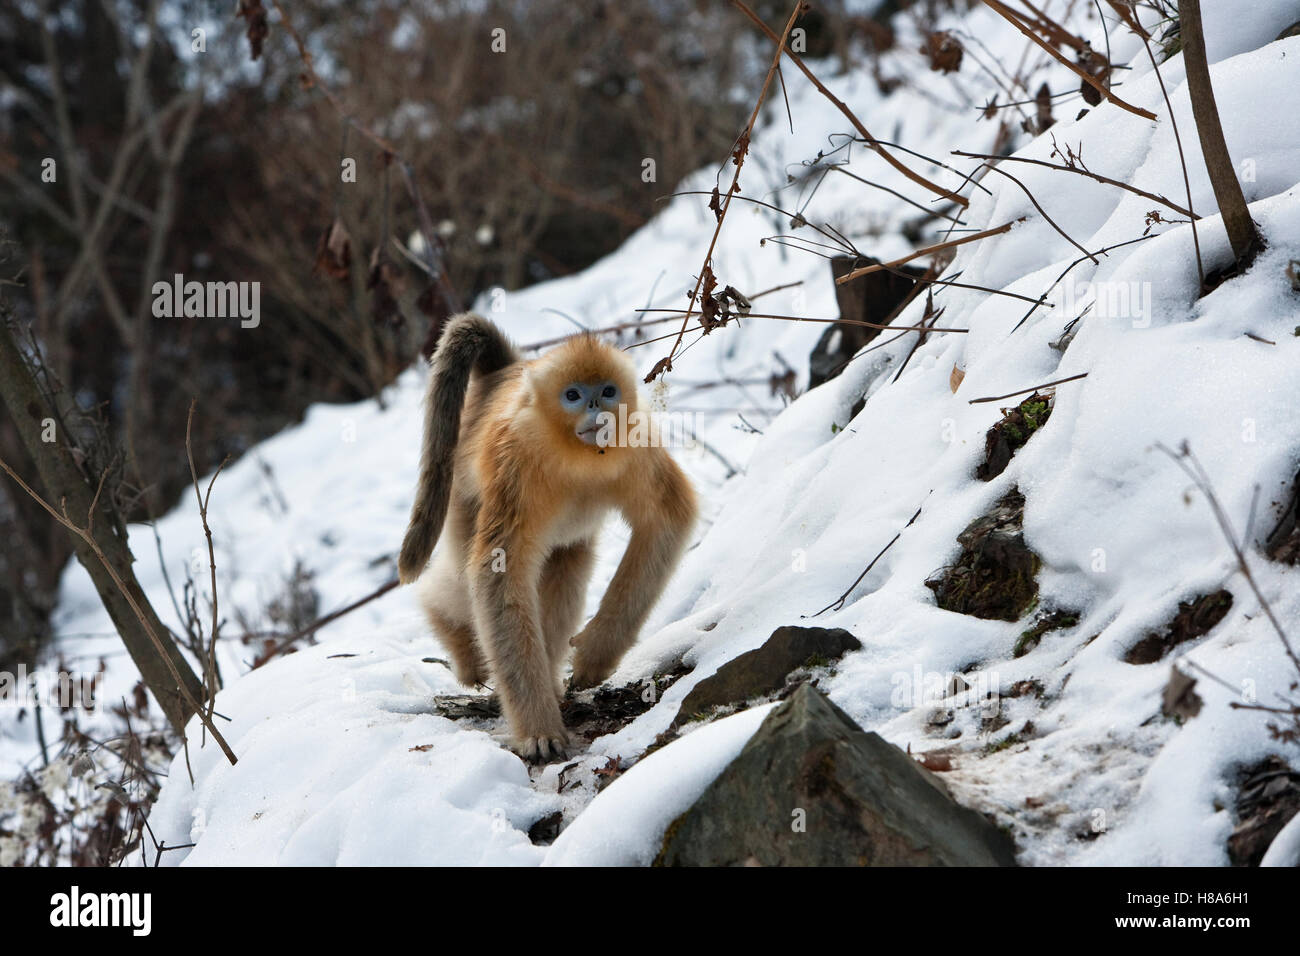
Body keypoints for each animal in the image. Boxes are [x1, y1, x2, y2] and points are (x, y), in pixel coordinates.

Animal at [397, 313, 698, 762]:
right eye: (573, 395)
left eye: (607, 391)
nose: (596, 408)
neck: (575, 453)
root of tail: (499, 373)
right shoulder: (516, 461)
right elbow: (497, 572)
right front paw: (538, 731)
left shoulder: (636, 442)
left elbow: (667, 519)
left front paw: (594, 655)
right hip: (461, 498)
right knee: (461, 582)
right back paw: (459, 644)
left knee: (565, 570)